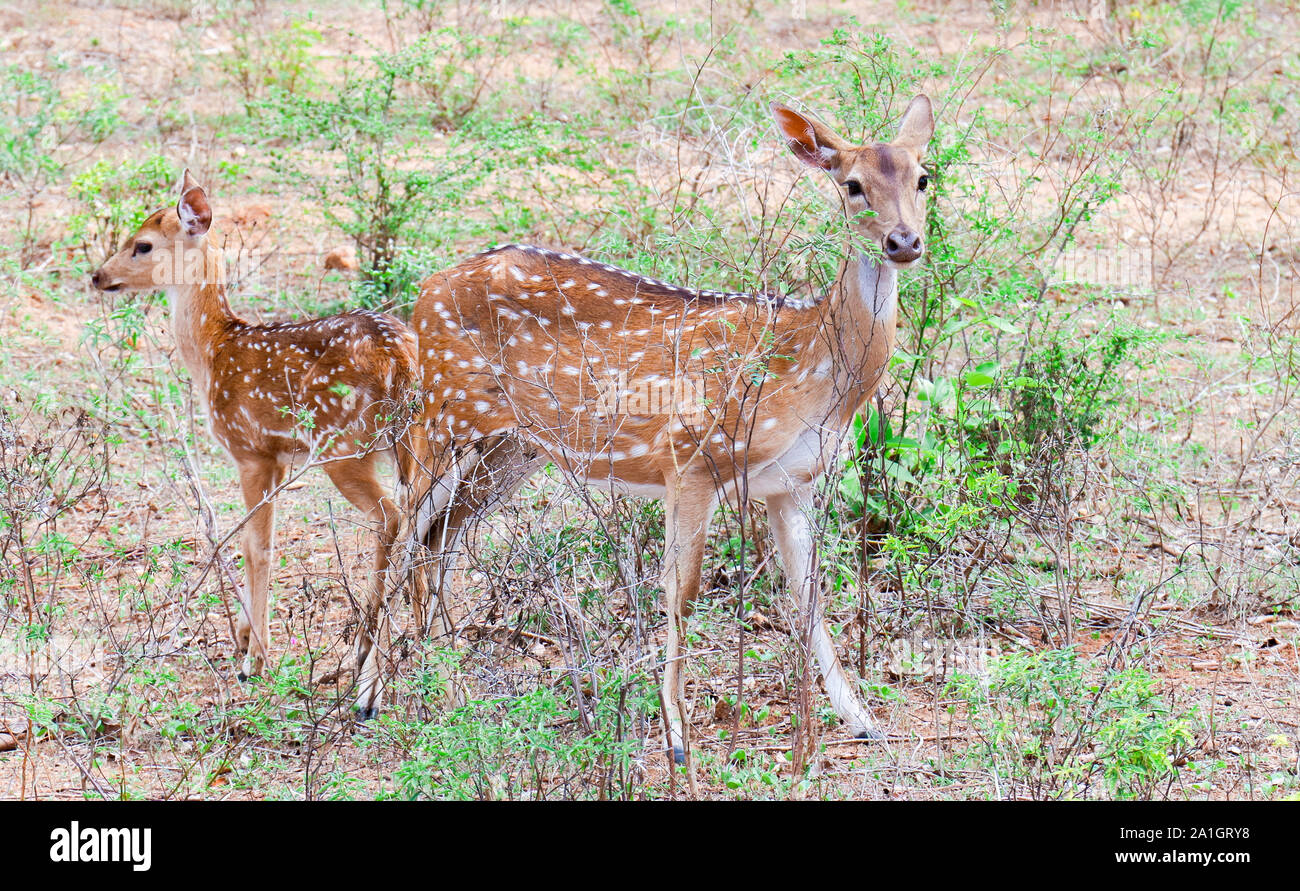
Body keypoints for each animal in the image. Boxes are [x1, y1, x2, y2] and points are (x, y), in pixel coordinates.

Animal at [90, 170, 421, 719]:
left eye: (143, 244)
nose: (97, 276)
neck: (213, 352)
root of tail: (399, 358)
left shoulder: (250, 451)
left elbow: (256, 546)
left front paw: (255, 660)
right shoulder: (281, 459)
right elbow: (258, 538)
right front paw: (245, 639)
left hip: (344, 445)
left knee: (391, 518)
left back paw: (367, 686)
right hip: (417, 442)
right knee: (426, 520)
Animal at [405, 96, 933, 763]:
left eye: (924, 178)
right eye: (853, 184)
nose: (903, 241)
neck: (814, 374)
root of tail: (421, 291)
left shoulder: (793, 481)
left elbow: (809, 593)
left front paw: (861, 718)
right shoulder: (690, 458)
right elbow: (682, 589)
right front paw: (678, 736)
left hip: (516, 446)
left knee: (438, 538)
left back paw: (443, 678)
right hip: (440, 413)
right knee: (399, 531)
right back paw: (392, 693)